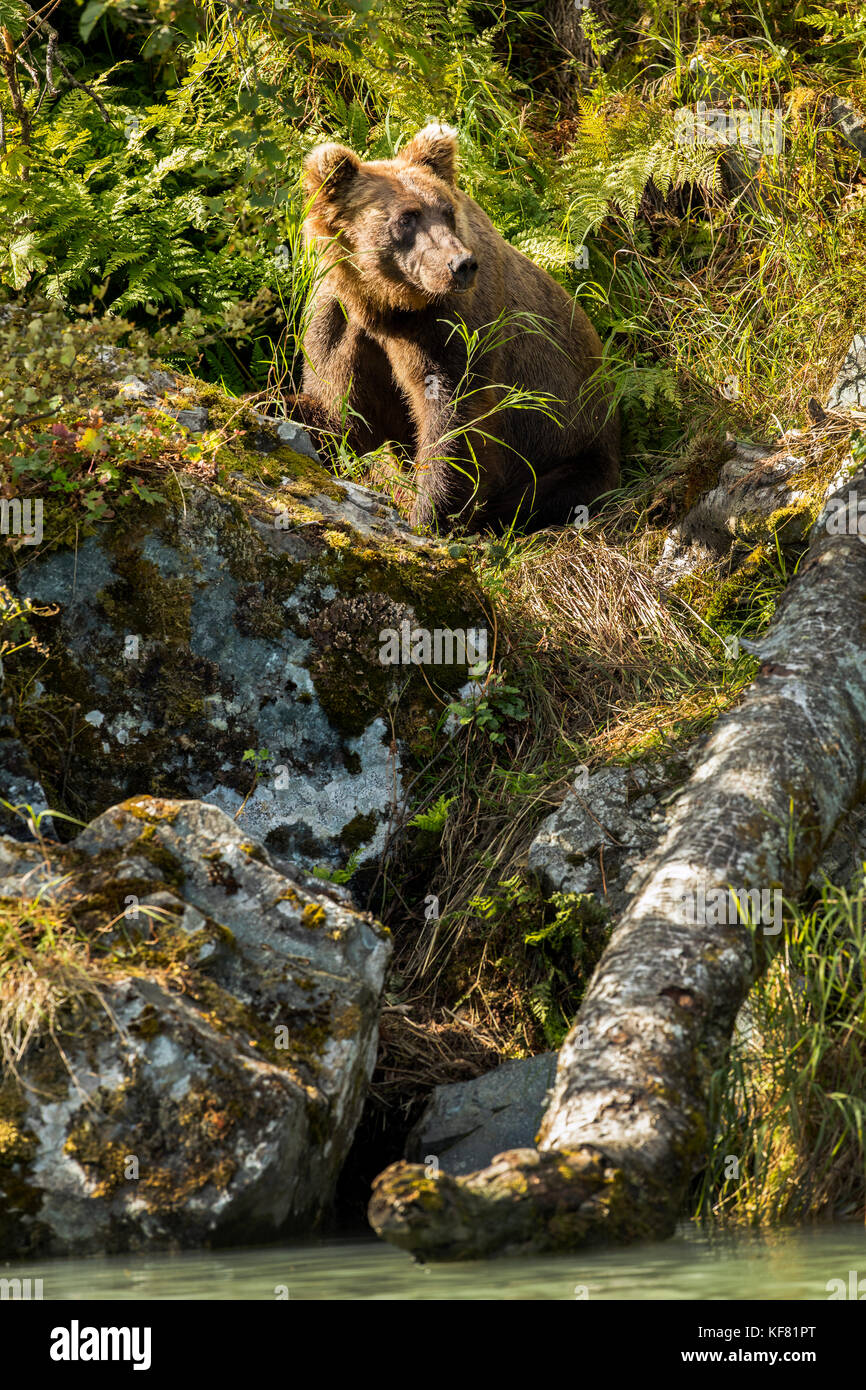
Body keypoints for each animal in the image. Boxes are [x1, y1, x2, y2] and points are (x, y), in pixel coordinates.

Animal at [288, 123, 620, 533]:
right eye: (407, 217)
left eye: (446, 211)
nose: (460, 264)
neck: (388, 305)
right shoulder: (341, 321)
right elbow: (338, 406)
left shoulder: (452, 331)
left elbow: (453, 417)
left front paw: (428, 513)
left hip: (573, 443)